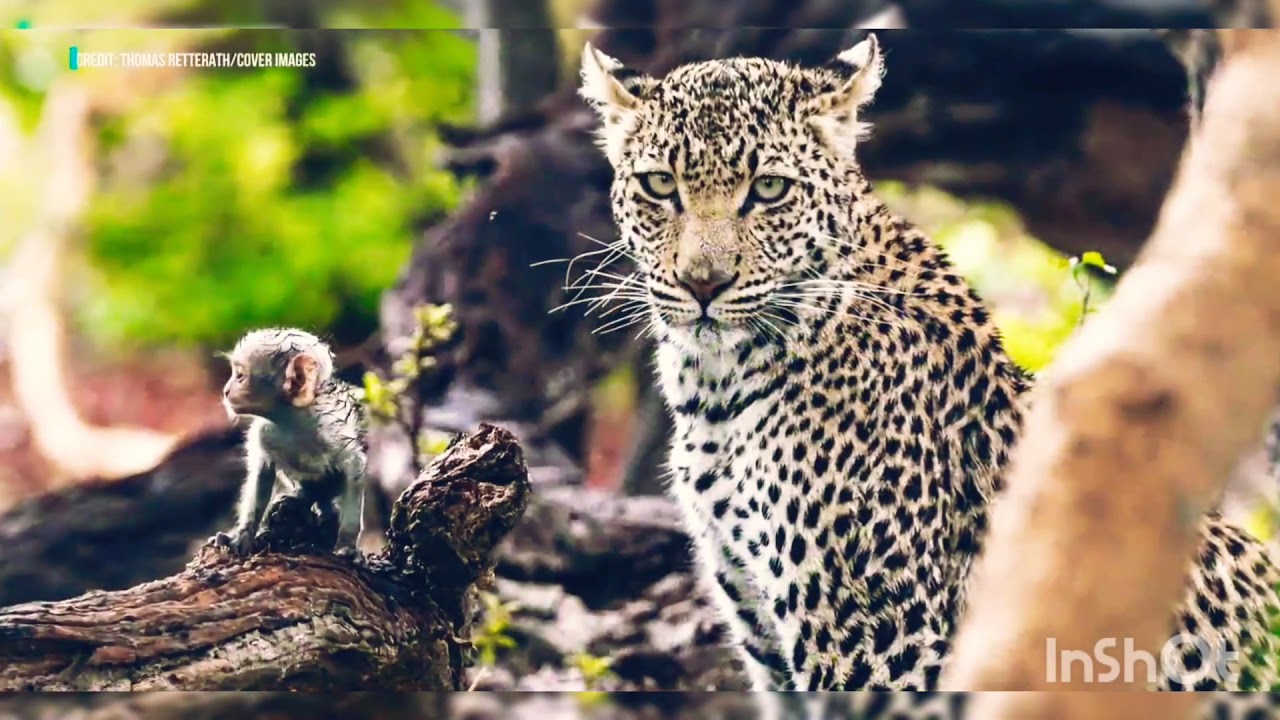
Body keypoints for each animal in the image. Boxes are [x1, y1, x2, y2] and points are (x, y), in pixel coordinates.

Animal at [212, 327, 385, 557]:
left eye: (240, 376)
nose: (226, 391)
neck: (293, 420)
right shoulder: (263, 432)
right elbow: (262, 474)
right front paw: (242, 537)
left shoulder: (331, 429)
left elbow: (353, 467)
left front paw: (347, 544)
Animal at [577, 32, 1280, 695]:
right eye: (659, 185)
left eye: (770, 189)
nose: (703, 283)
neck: (716, 389)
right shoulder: (764, 633)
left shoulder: (882, 642)